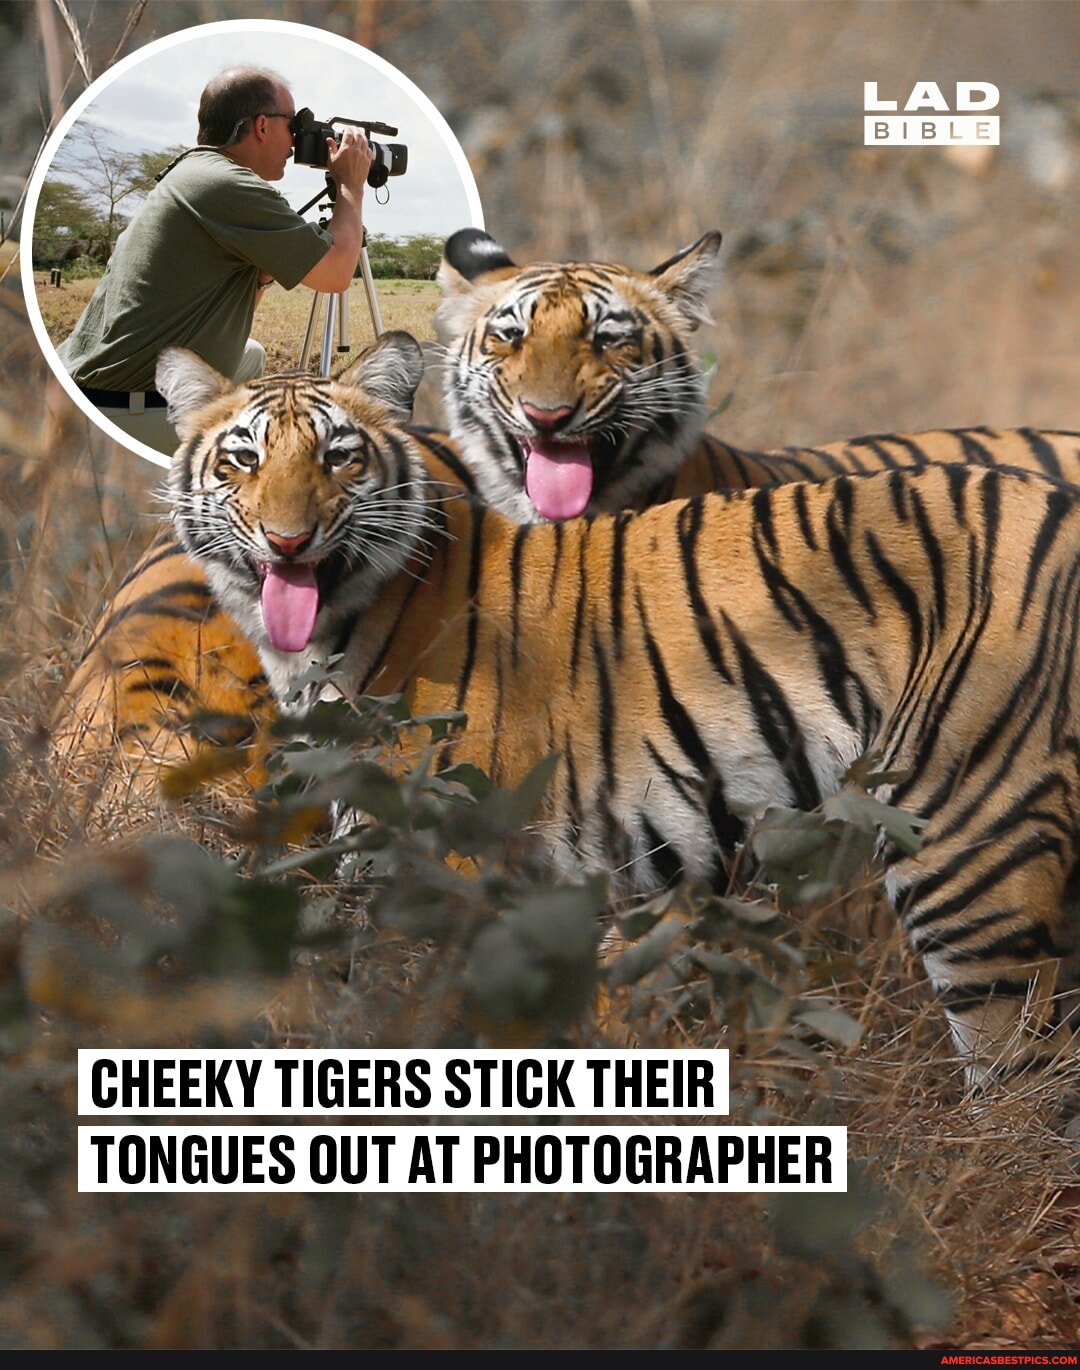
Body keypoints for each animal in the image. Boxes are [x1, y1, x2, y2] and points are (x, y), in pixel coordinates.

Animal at [156, 329, 1080, 1085]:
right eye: (242, 460)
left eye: (339, 458)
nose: (288, 542)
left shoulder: (454, 861)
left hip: (970, 839)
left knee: (1022, 1077)